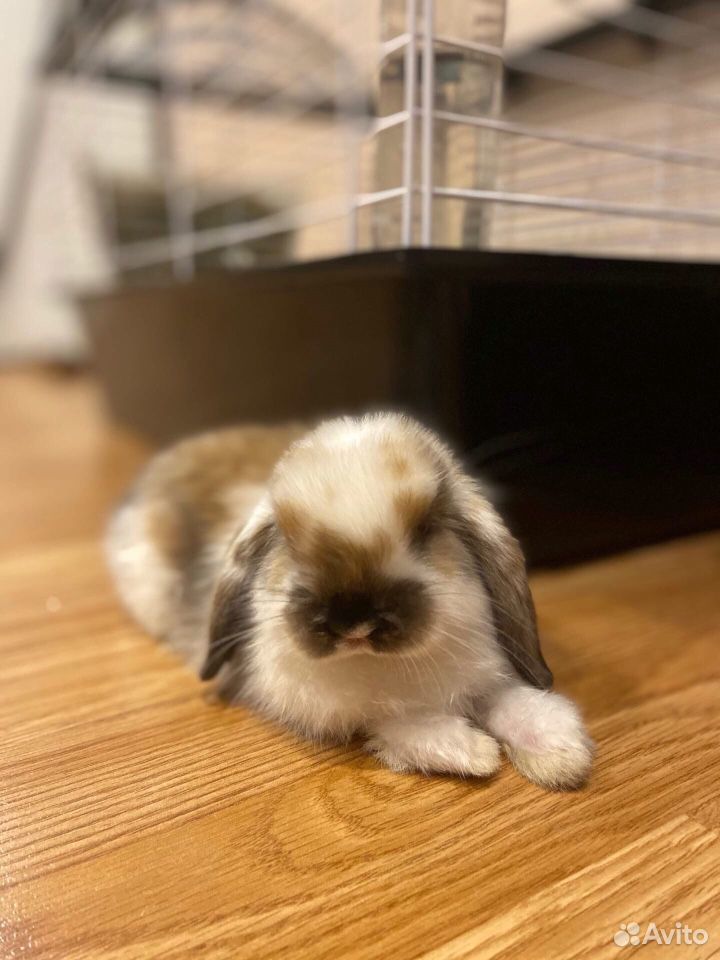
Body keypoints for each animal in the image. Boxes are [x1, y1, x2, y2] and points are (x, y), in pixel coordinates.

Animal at [107, 413, 593, 789]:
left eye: (427, 528)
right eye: (289, 542)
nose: (354, 621)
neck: (379, 664)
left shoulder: (484, 675)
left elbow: (511, 700)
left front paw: (559, 752)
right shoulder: (360, 713)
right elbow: (400, 723)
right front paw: (473, 750)